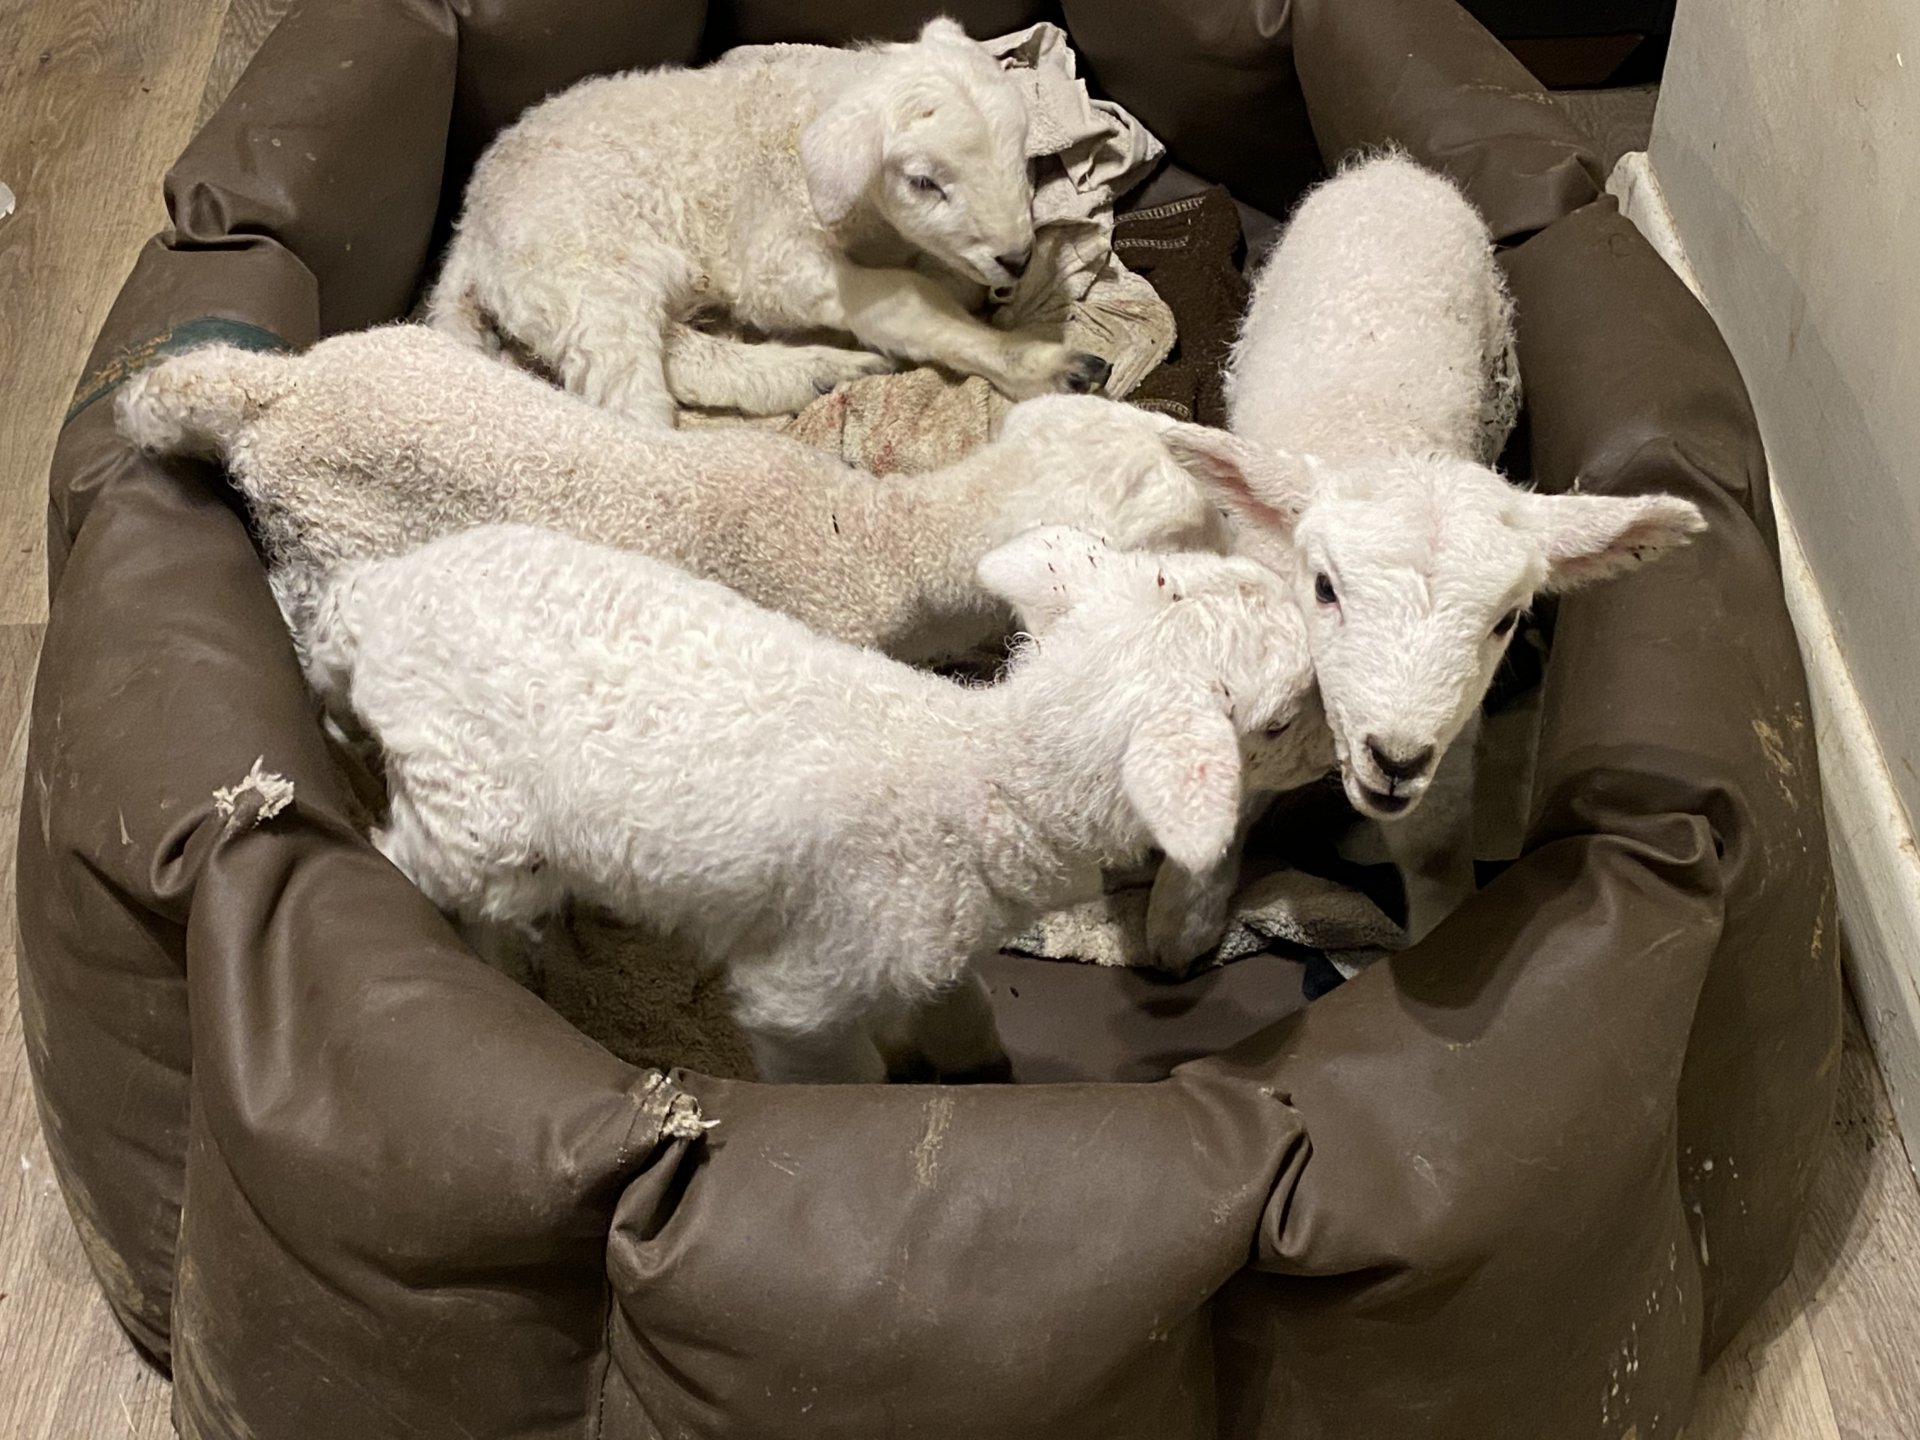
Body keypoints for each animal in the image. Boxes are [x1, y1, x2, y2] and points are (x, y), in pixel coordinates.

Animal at [299, 522, 1324, 1083]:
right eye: (1279, 719)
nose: (1344, 753)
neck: (985, 777)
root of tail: (377, 598)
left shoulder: (925, 946)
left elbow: (961, 1011)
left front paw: (981, 1068)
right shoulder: (805, 992)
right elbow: (842, 1071)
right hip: (474, 811)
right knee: (405, 861)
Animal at [427, 16, 1113, 428]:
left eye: (1022, 154)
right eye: (924, 181)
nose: (1018, 258)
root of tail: (470, 234)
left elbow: (940, 280)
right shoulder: (775, 264)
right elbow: (905, 301)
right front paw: (1039, 365)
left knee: (685, 356)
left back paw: (822, 371)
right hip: (587, 271)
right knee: (626, 398)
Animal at [1139, 152, 1707, 959]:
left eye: (1505, 622)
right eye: (1325, 588)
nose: (1397, 758)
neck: (1383, 438)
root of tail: (1390, 166)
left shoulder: (1451, 749)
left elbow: (1436, 849)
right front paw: (1181, 915)